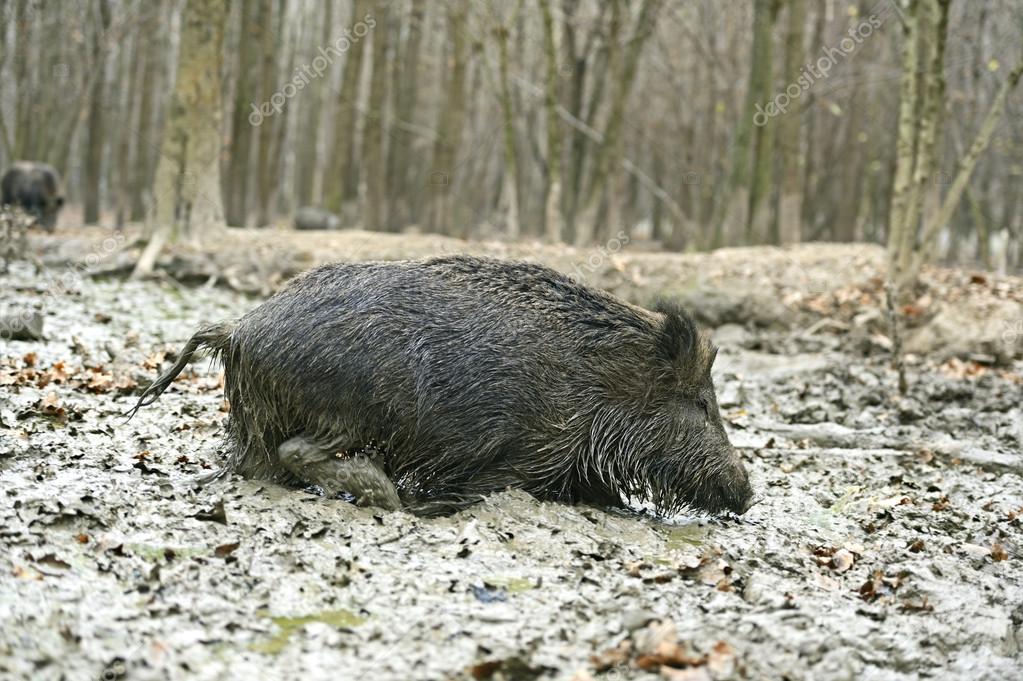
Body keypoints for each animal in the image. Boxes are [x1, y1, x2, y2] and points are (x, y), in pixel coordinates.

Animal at [131, 256, 754, 516]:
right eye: (702, 404)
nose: (747, 494)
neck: (597, 391)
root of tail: (238, 329)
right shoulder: (520, 453)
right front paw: (428, 505)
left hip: (261, 420)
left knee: (261, 467)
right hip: (350, 412)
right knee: (299, 452)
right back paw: (384, 495)